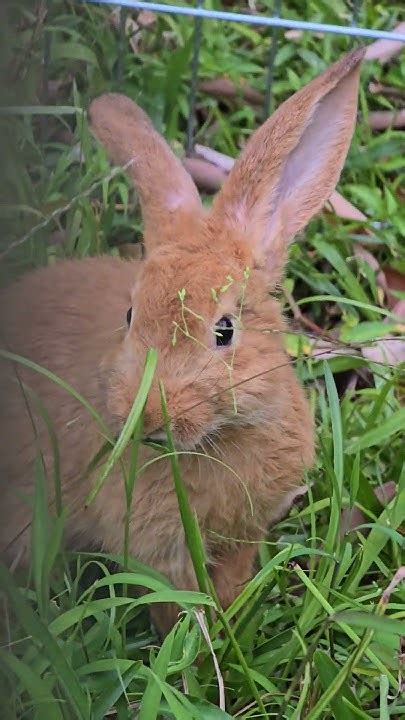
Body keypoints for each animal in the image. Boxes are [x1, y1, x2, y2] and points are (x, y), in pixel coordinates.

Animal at [0, 48, 365, 634]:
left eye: (224, 330)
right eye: (130, 315)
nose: (146, 414)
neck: (220, 439)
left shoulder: (246, 533)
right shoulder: (160, 552)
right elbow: (179, 606)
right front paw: (203, 640)